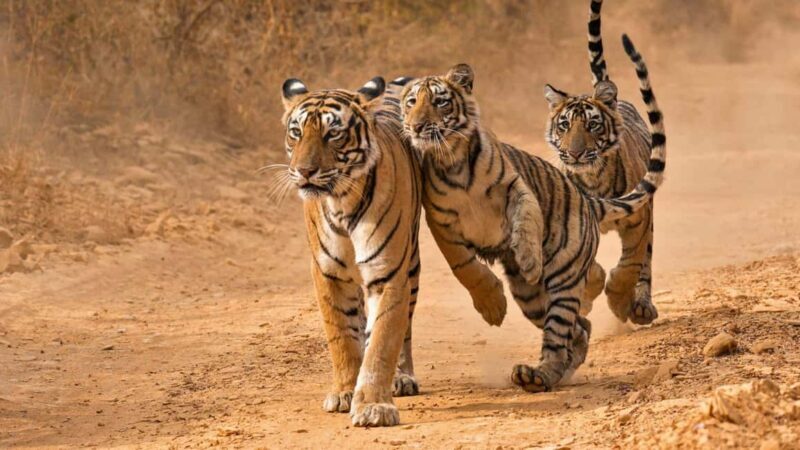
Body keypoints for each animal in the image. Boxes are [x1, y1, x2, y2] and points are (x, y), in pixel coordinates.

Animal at [279, 76, 428, 427]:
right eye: (297, 132)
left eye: (333, 133)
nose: (304, 171)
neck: (342, 202)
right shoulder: (329, 274)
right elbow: (343, 338)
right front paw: (346, 392)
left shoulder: (388, 273)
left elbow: (382, 341)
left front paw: (374, 405)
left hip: (411, 265)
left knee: (404, 328)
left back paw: (402, 377)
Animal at [399, 34, 665, 393]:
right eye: (411, 102)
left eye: (440, 102)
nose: (416, 126)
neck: (453, 161)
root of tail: (587, 200)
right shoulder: (440, 222)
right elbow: (464, 266)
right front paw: (492, 307)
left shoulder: (516, 186)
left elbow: (526, 218)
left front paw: (528, 259)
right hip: (531, 298)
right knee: (579, 329)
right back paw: (546, 373)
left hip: (563, 279)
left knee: (563, 329)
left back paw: (538, 374)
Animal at [543, 0, 660, 325]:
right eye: (564, 125)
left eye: (592, 125)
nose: (575, 153)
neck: (593, 177)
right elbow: (588, 268)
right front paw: (588, 295)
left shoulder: (639, 217)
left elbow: (630, 264)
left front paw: (619, 302)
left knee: (645, 262)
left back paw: (641, 306)